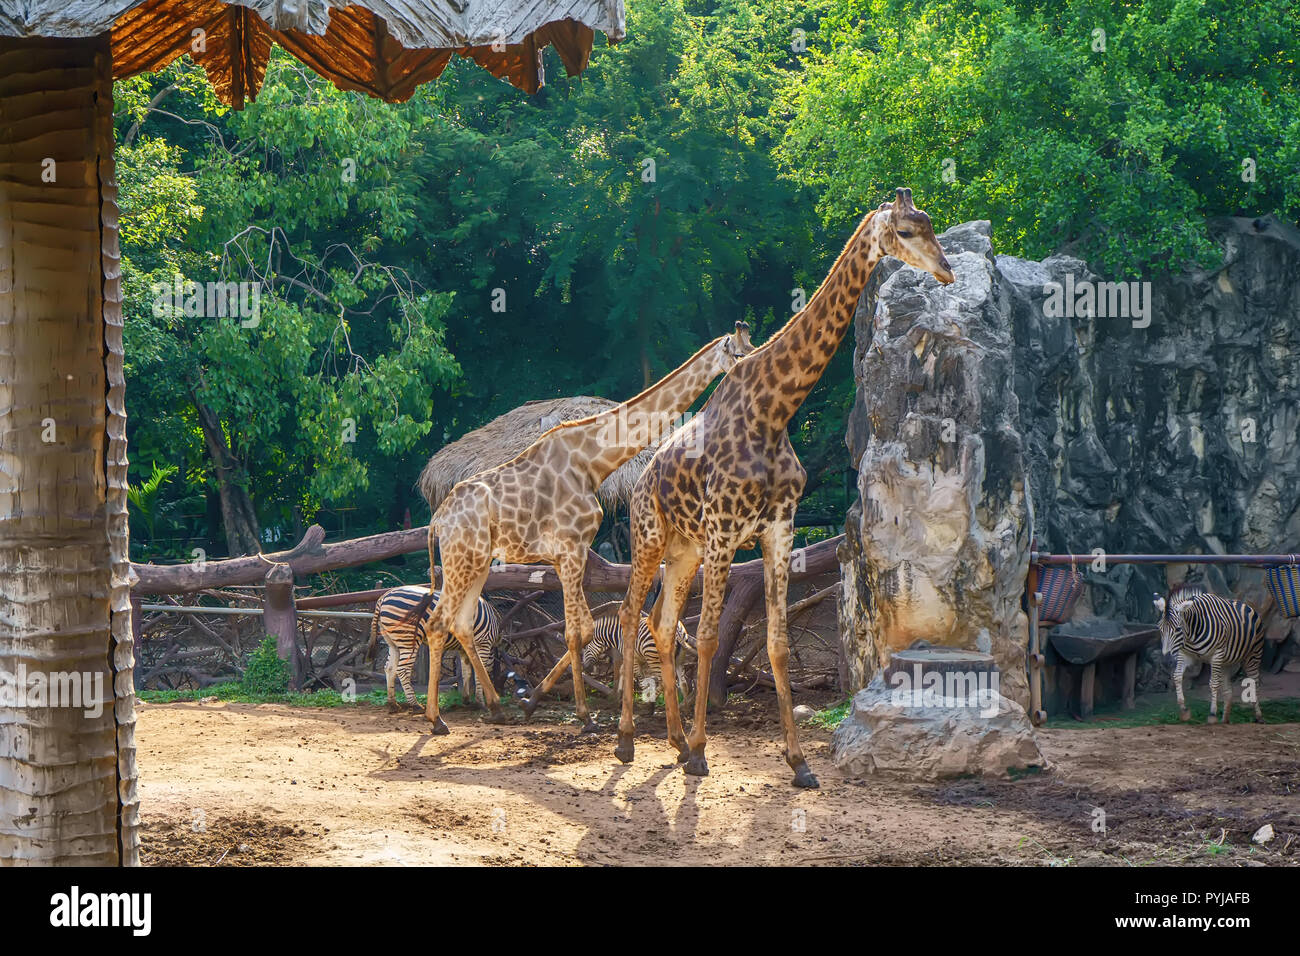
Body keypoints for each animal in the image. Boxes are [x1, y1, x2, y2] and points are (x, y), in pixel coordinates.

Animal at [366, 585, 501, 712]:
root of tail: (384, 596)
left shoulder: (465, 648)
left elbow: (466, 672)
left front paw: (466, 700)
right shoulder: (483, 643)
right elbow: (479, 673)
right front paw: (481, 703)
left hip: (393, 641)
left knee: (389, 668)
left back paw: (392, 703)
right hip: (408, 638)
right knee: (403, 670)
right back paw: (415, 705)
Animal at [411, 322, 755, 735]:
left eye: (754, 345)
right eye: (739, 354)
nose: (752, 377)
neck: (593, 459)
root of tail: (437, 519)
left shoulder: (566, 555)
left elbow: (576, 630)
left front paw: (534, 702)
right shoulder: (572, 548)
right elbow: (580, 631)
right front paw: (584, 716)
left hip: (475, 562)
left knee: (460, 623)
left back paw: (493, 708)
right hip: (462, 560)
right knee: (437, 623)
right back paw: (436, 720)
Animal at [612, 188, 954, 787]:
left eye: (932, 225)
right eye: (909, 231)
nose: (947, 271)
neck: (774, 413)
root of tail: (640, 479)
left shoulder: (777, 530)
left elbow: (775, 643)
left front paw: (799, 764)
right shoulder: (726, 531)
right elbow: (709, 636)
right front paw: (701, 752)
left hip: (685, 549)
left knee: (662, 621)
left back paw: (671, 739)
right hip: (651, 535)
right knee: (633, 615)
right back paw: (630, 740)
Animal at [1153, 587, 1265, 724]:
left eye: (1178, 629)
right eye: (1159, 628)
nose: (1165, 660)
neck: (1191, 634)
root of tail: (1246, 604)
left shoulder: (1216, 654)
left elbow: (1213, 683)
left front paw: (1212, 714)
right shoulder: (1185, 654)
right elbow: (1177, 676)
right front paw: (1184, 710)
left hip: (1253, 655)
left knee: (1255, 682)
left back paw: (1259, 716)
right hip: (1226, 662)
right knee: (1228, 691)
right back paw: (1225, 721)